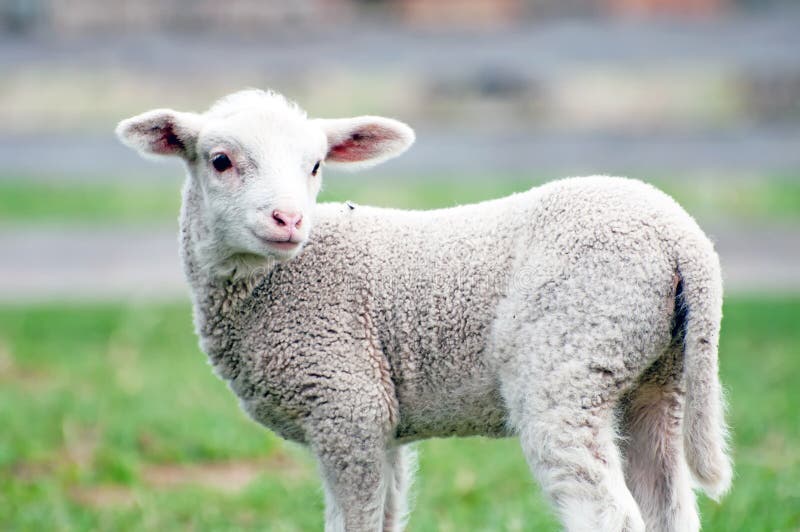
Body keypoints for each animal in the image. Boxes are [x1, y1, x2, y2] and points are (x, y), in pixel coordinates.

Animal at [116, 89, 732, 532]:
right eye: (219, 161)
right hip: (656, 378)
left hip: (569, 357)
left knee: (608, 513)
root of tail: (683, 240)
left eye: (315, 166)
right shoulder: (382, 424)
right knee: (669, 510)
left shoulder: (348, 406)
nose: (288, 220)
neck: (277, 283)